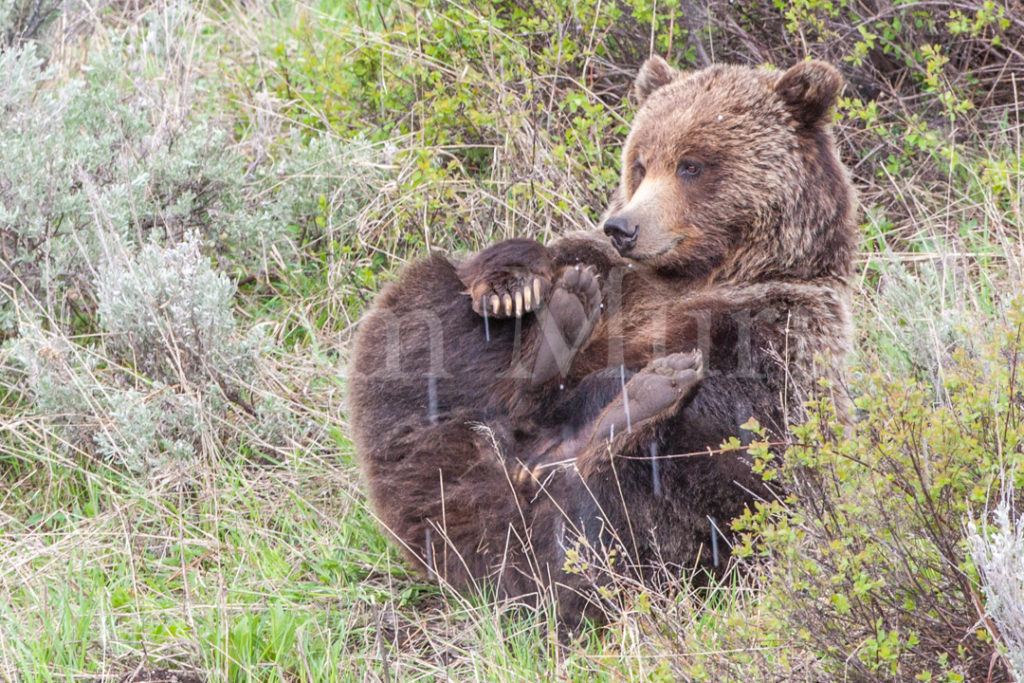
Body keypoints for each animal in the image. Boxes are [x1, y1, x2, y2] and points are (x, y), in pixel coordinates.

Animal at [347, 57, 856, 626]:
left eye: (692, 165)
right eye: (640, 162)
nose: (624, 226)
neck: (700, 274)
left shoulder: (787, 323)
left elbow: (753, 423)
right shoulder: (614, 273)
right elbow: (540, 259)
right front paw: (513, 286)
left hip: (647, 536)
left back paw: (641, 401)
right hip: (431, 445)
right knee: (422, 330)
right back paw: (560, 335)